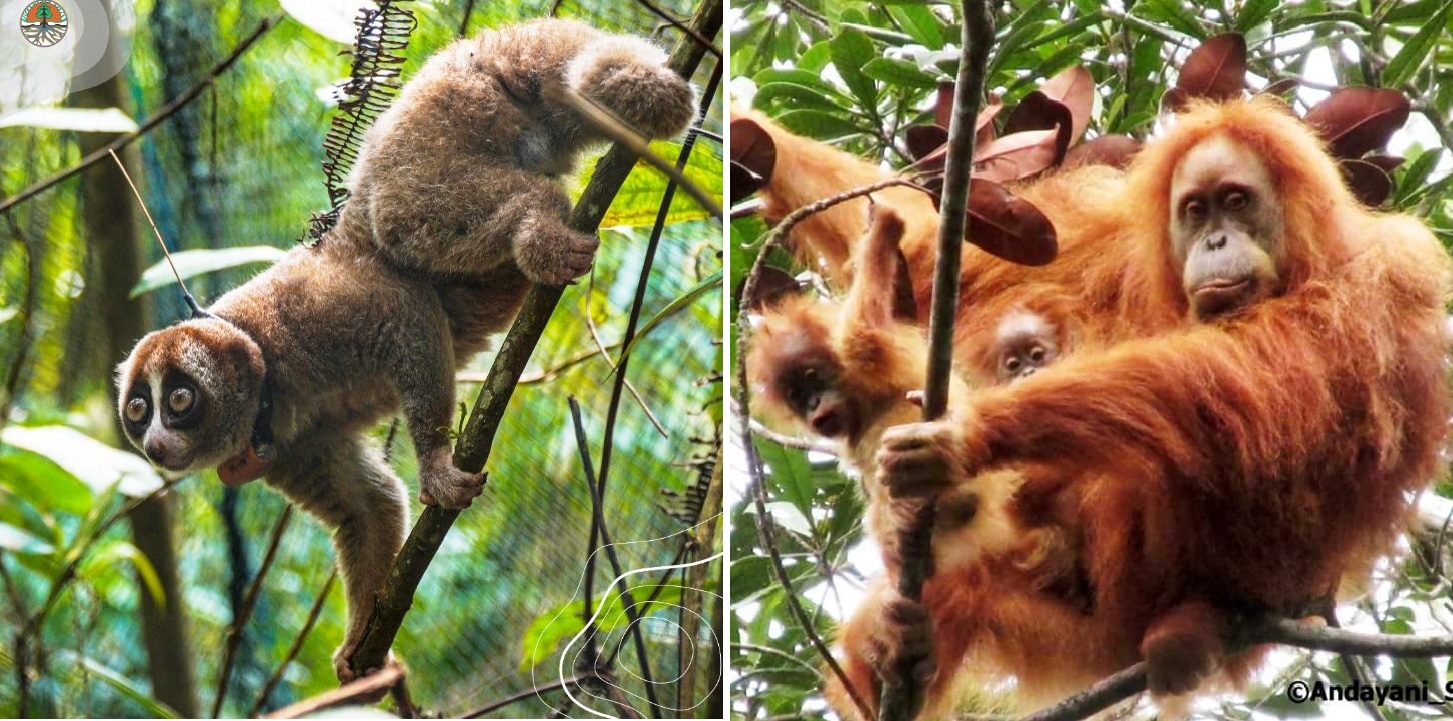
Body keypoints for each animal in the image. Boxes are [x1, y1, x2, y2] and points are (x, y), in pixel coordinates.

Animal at [116, 18, 697, 683]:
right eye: (138, 412)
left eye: (180, 399)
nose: (154, 444)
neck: (267, 383)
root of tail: (478, 50)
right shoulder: (287, 447)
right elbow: (366, 508)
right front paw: (361, 651)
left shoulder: (303, 318)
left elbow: (408, 312)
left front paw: (439, 465)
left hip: (432, 128)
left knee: (399, 217)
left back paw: (536, 224)